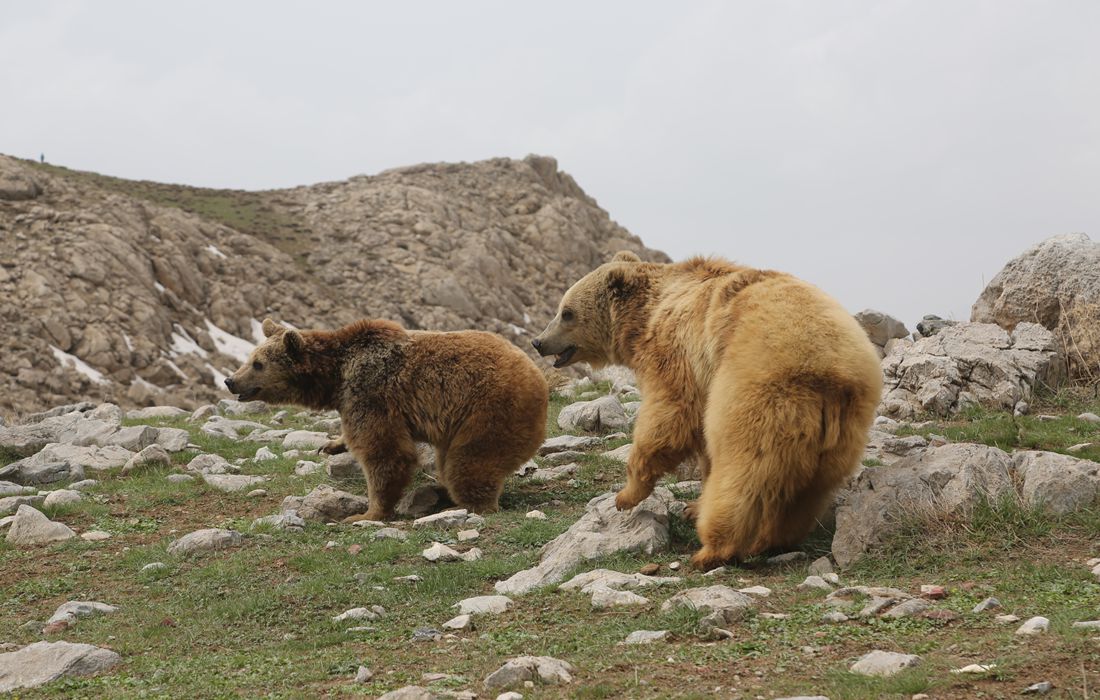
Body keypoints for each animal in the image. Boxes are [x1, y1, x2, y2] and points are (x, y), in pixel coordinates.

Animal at [225, 318, 548, 521]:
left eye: (257, 364)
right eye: (250, 358)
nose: (230, 380)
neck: (335, 376)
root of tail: (536, 374)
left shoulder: (371, 392)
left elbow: (384, 451)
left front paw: (366, 512)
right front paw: (331, 444)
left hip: (489, 409)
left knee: (469, 463)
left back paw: (466, 504)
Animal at [532, 251, 882, 569]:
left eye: (567, 312)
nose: (538, 341)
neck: (645, 318)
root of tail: (835, 373)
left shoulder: (679, 356)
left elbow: (668, 416)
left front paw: (626, 496)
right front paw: (690, 504)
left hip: (759, 393)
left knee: (741, 471)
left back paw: (713, 549)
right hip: (843, 432)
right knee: (806, 491)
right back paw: (772, 539)